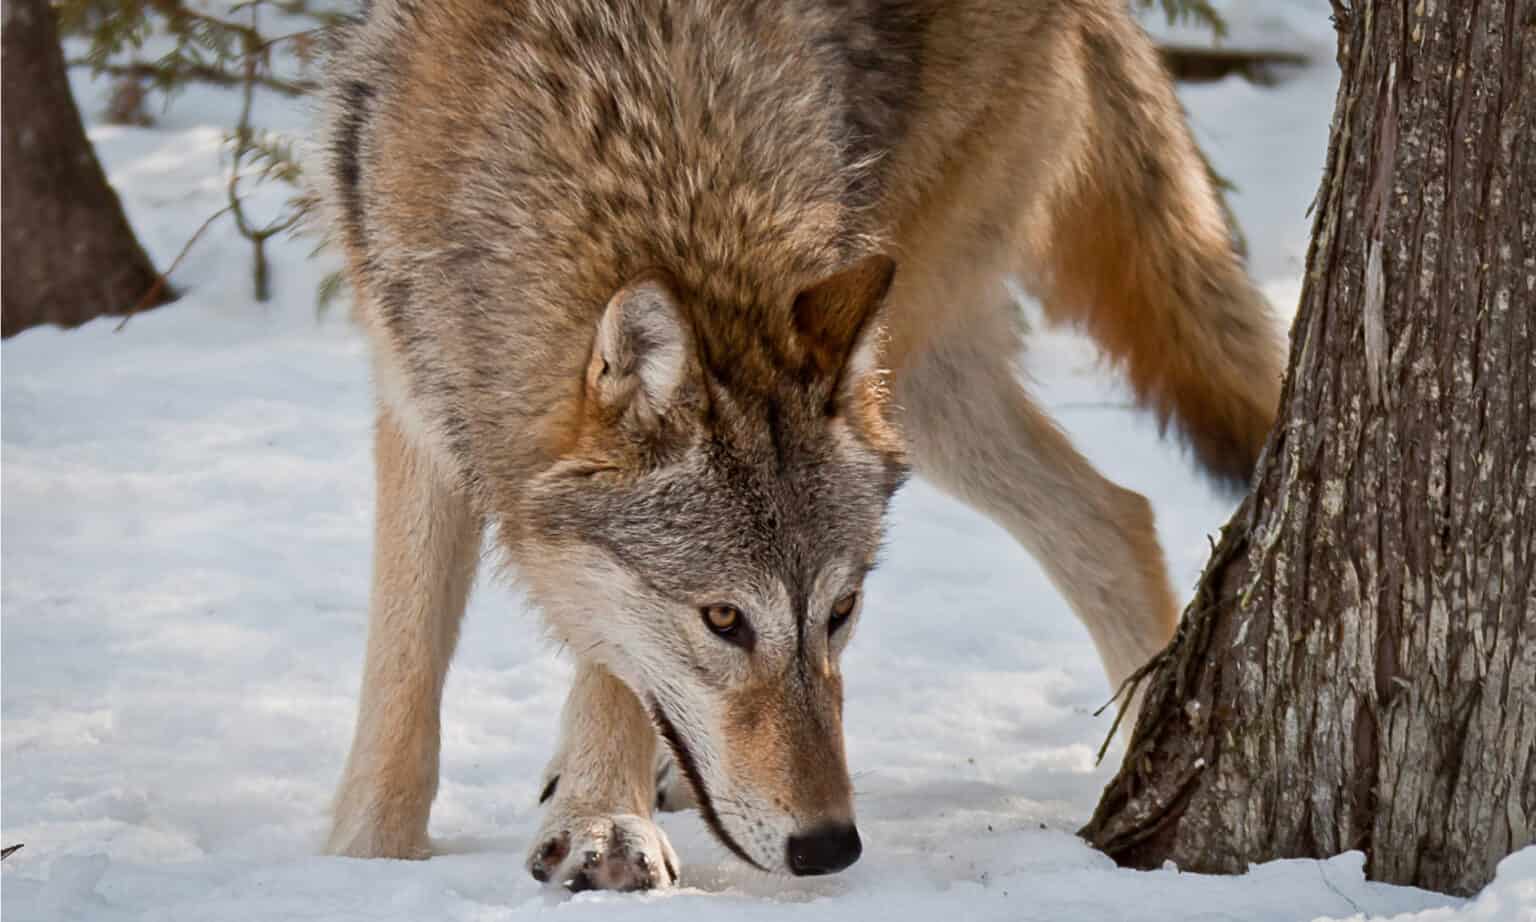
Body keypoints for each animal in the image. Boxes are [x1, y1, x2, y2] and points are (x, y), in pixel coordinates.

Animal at [315, 0, 1286, 891]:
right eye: (723, 620)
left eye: (842, 611)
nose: (830, 849)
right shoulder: (416, 393)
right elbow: (404, 671)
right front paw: (366, 859)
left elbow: (611, 657)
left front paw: (601, 824)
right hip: (922, 388)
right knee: (1116, 514)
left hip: (905, 335)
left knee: (1118, 512)